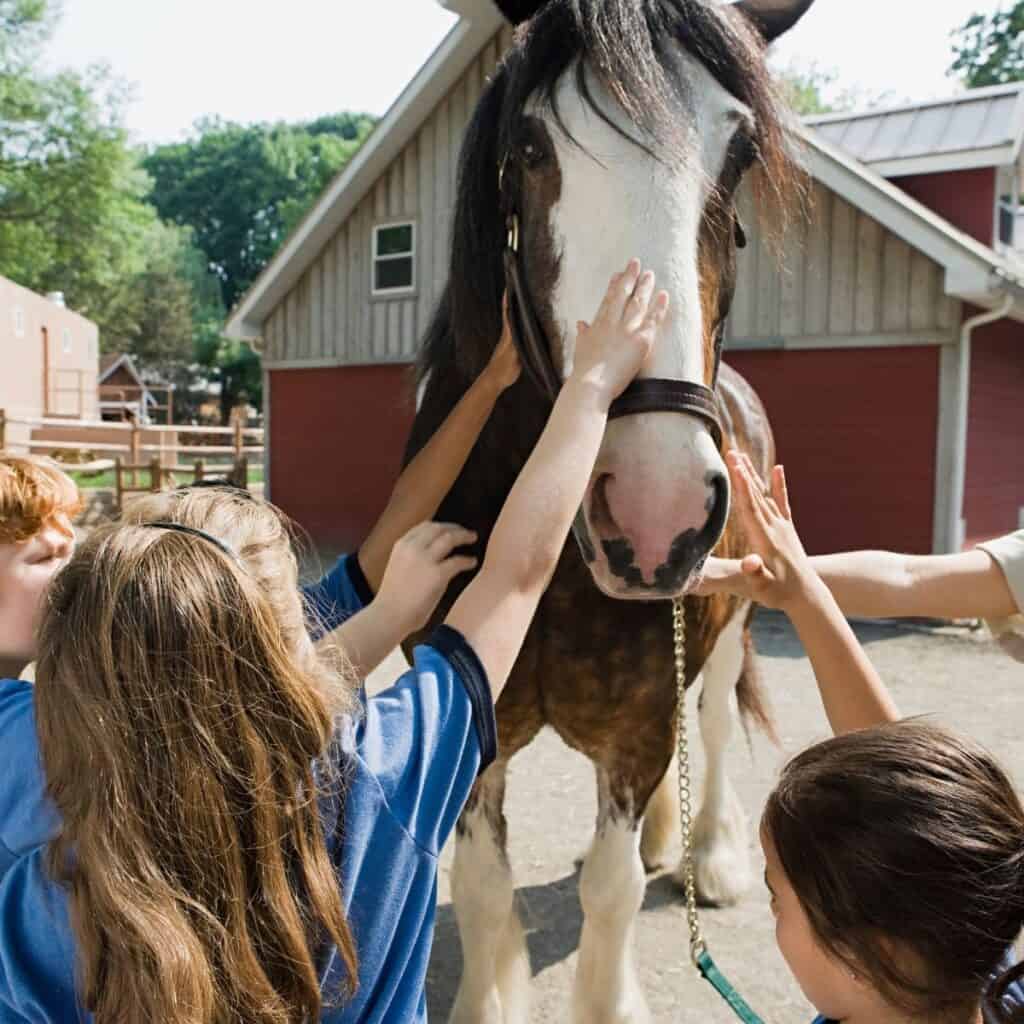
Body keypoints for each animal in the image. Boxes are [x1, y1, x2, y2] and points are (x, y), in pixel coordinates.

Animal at [404, 1, 813, 1019]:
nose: (656, 511)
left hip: (735, 625)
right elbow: (482, 884)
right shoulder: (478, 716)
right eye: (529, 145)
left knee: (712, 725)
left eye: (739, 153)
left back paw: (710, 856)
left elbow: (612, 891)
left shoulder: (637, 723)